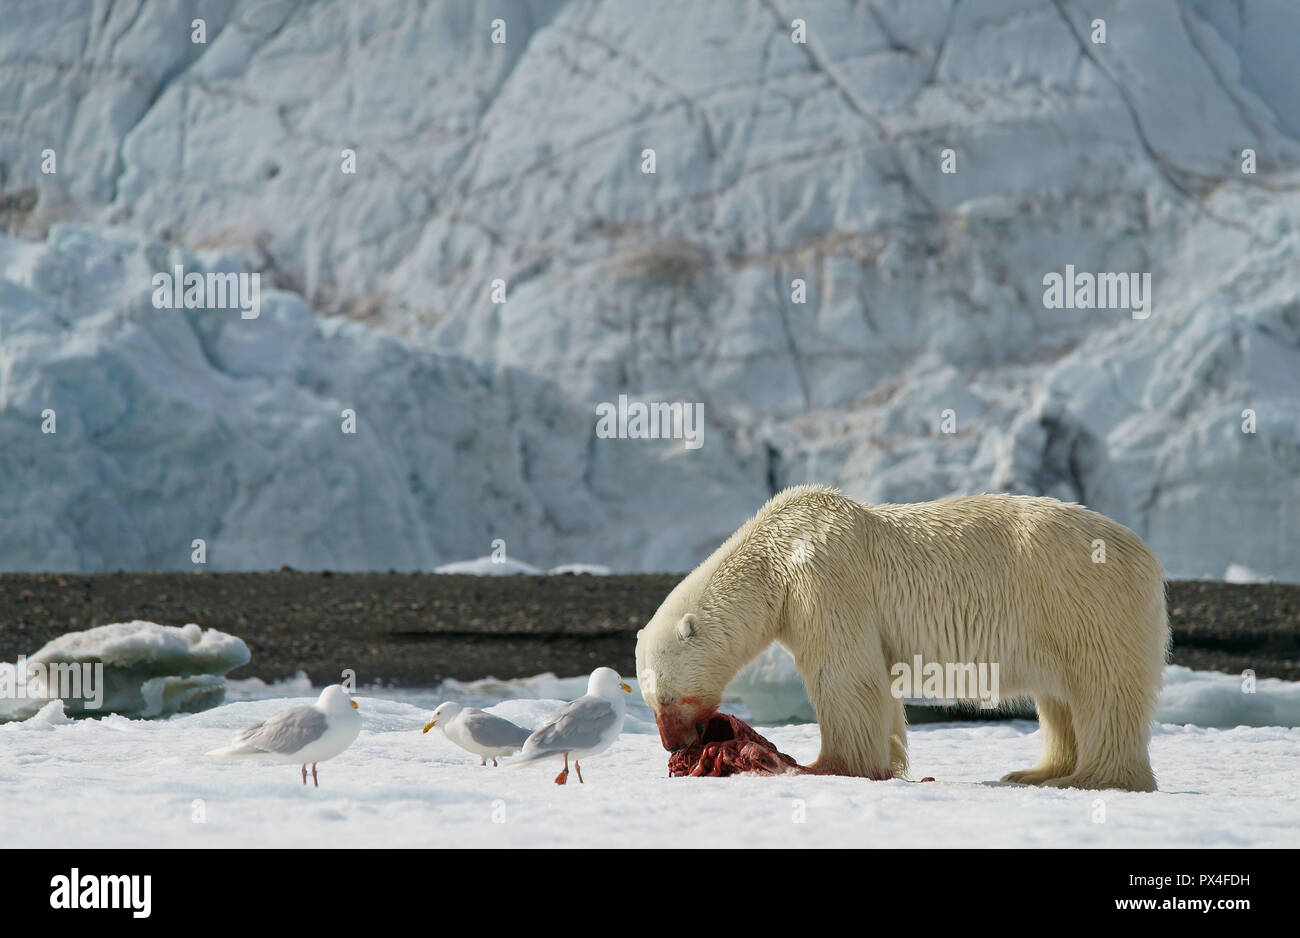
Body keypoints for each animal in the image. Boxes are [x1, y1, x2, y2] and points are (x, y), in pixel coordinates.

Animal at [634, 484, 1169, 791]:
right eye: (648, 700)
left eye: (668, 696)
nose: (672, 745)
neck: (776, 550)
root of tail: (1146, 555)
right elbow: (879, 686)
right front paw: (889, 763)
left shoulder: (823, 580)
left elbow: (845, 676)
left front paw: (820, 764)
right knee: (1059, 699)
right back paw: (1038, 772)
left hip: (1084, 600)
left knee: (1103, 688)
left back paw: (1095, 778)